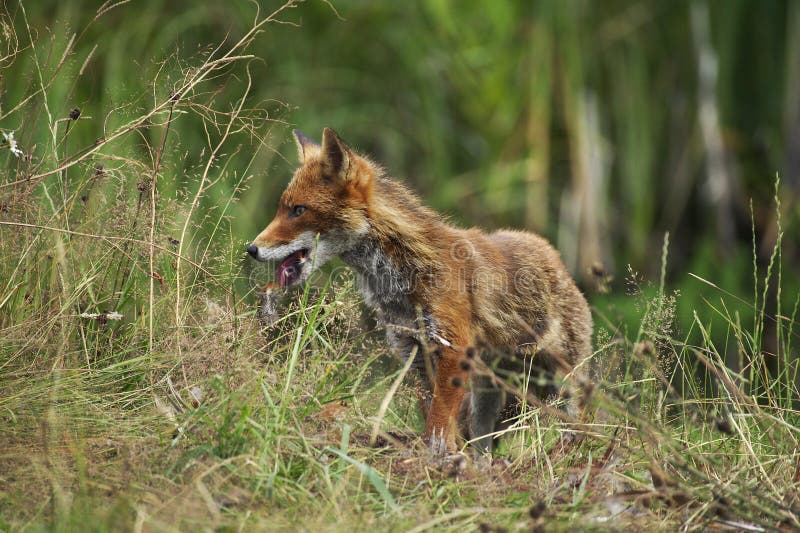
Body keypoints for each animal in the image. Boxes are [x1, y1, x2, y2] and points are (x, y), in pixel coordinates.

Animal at [247, 128, 593, 455]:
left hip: (562, 379)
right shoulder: (412, 350)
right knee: (483, 442)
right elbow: (432, 411)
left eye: (298, 210)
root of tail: (556, 256)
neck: (399, 272)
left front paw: (437, 456)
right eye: (282, 209)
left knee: (580, 424)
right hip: (489, 393)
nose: (251, 249)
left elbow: (439, 420)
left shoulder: (453, 346)